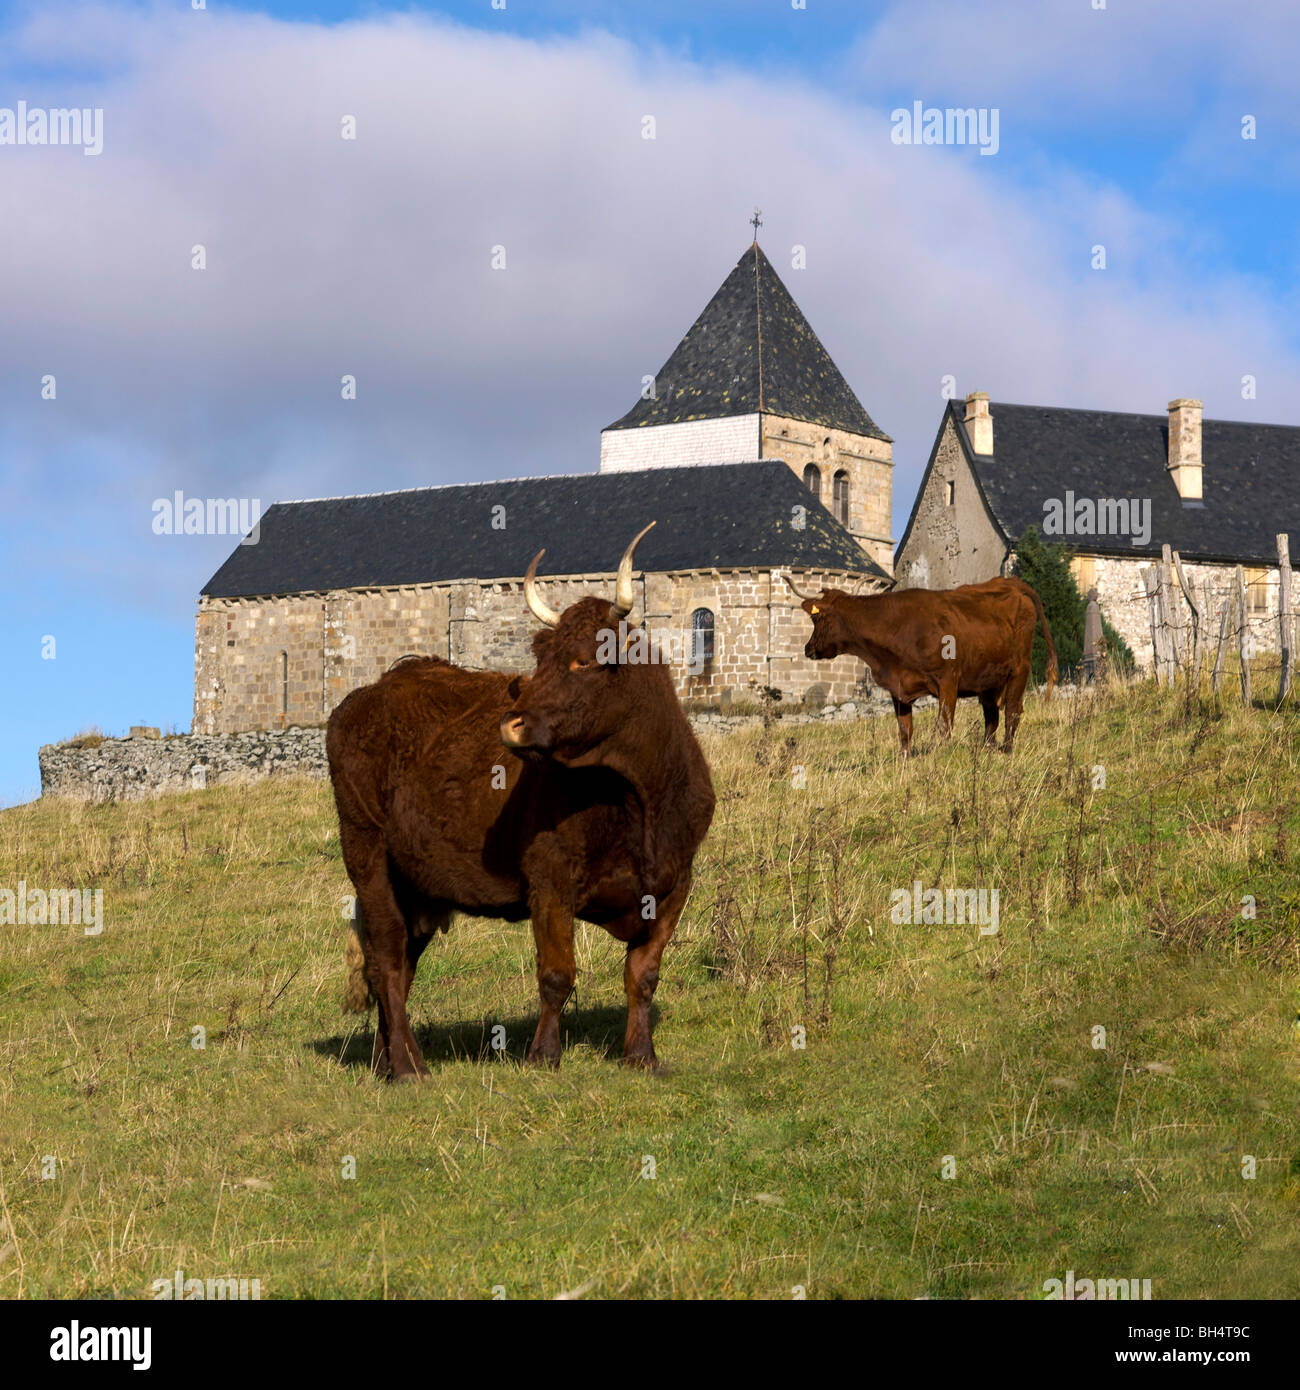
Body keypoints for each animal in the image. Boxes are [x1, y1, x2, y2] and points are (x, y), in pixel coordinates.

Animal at [326, 524, 716, 1081]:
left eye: (584, 660)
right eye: (538, 661)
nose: (512, 724)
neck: (638, 801)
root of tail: (373, 690)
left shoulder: (674, 883)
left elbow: (643, 975)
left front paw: (642, 1056)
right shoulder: (548, 878)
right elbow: (557, 974)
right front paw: (543, 1055)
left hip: (415, 883)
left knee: (399, 964)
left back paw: (389, 1060)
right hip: (367, 854)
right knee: (386, 961)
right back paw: (408, 1067)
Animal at [784, 573, 1057, 756]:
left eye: (815, 618)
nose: (807, 648)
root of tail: (1009, 582)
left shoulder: (948, 680)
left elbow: (944, 725)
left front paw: (941, 756)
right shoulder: (898, 688)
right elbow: (905, 730)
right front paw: (905, 759)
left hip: (1019, 669)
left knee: (1012, 711)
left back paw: (1007, 750)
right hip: (990, 680)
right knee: (992, 716)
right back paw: (988, 749)